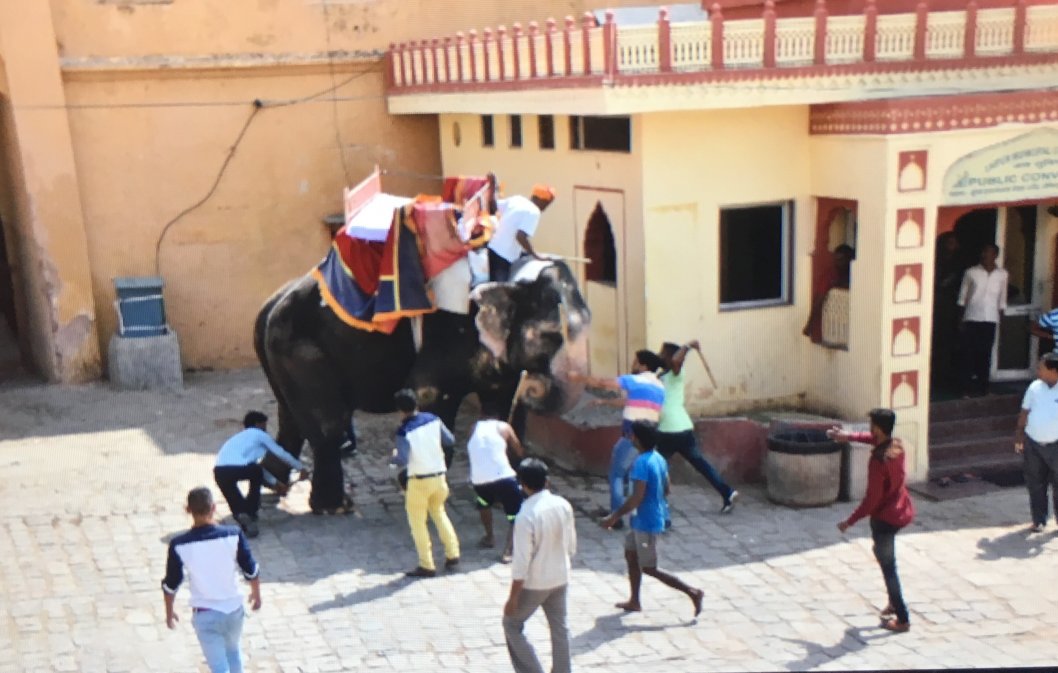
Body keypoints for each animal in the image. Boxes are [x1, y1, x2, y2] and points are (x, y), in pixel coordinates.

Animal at [253, 257, 591, 513]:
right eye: (551, 336)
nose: (534, 384)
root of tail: (270, 303)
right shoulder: (449, 335)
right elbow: (426, 396)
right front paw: (414, 483)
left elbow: (498, 407)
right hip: (303, 353)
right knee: (328, 426)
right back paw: (334, 507)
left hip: (283, 357)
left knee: (290, 421)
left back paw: (277, 483)